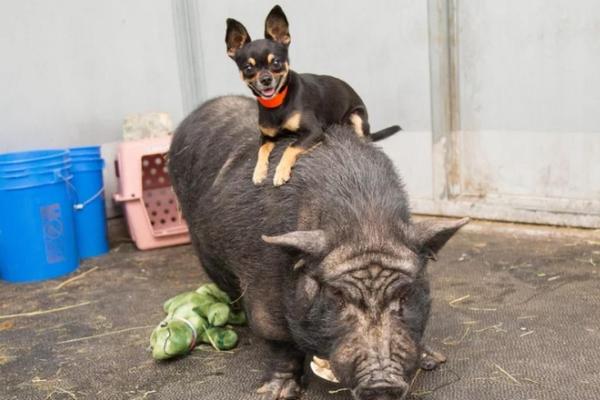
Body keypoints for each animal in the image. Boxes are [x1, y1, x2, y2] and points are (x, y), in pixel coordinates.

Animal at [169, 97, 468, 400]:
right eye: (337, 294)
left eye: (406, 293)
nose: (382, 384)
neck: (365, 224)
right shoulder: (261, 279)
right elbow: (278, 337)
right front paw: (276, 393)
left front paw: (434, 360)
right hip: (203, 248)